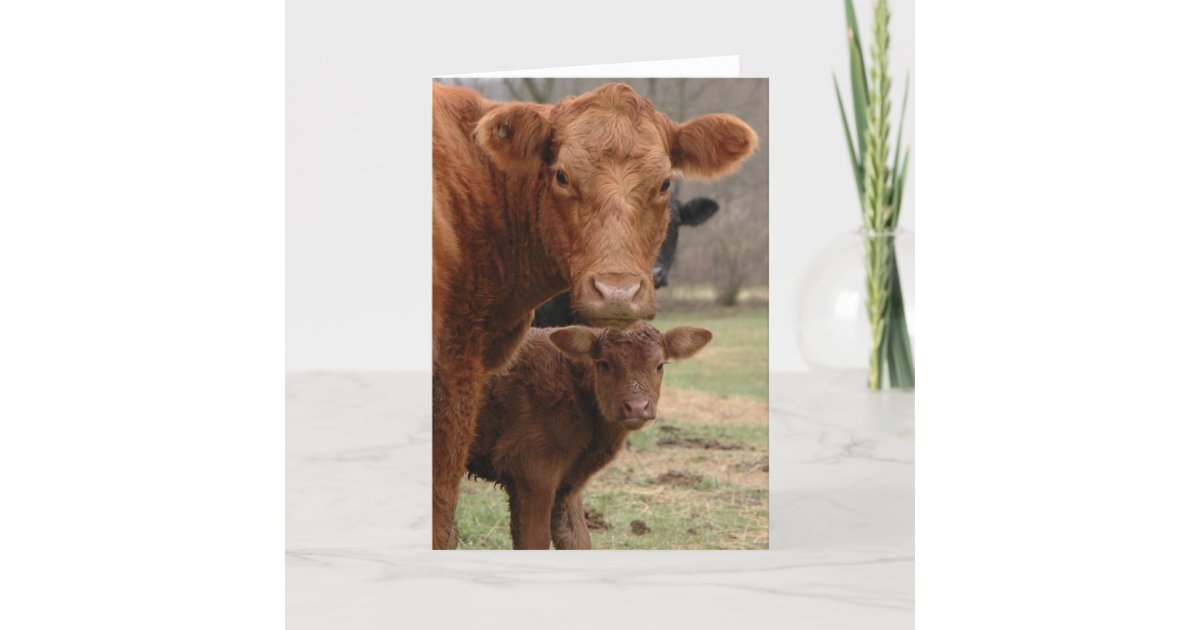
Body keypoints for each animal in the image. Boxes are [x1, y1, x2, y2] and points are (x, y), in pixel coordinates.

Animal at [468, 322, 714, 549]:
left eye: (660, 365)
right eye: (604, 364)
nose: (636, 407)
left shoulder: (568, 484)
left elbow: (578, 539)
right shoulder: (531, 471)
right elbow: (535, 541)